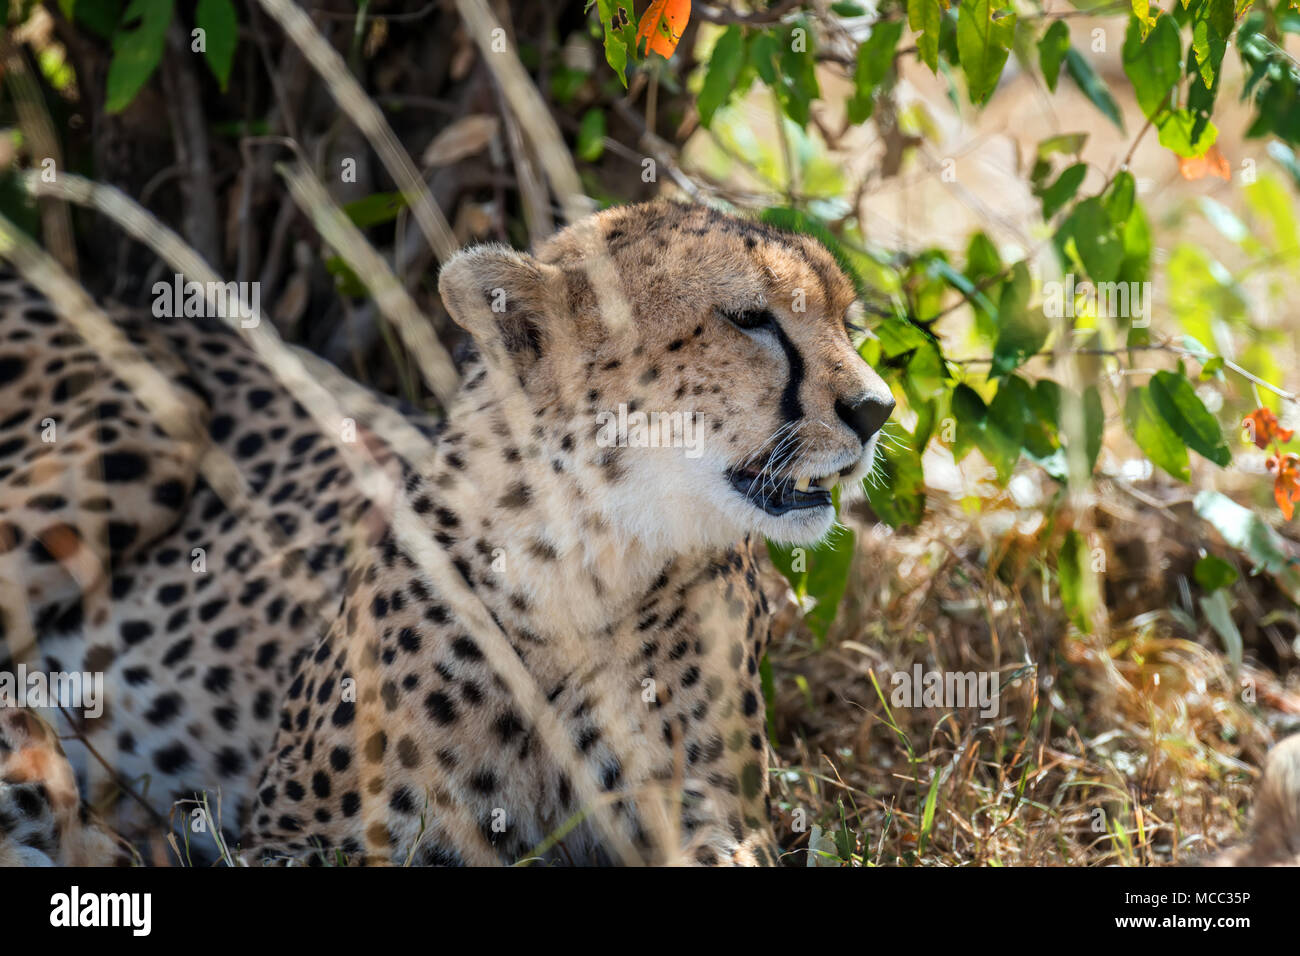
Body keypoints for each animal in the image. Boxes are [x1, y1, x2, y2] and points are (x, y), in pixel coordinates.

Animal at [0, 200, 897, 866]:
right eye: (751, 319)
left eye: (850, 323)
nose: (877, 409)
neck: (590, 560)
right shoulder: (296, 835)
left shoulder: (711, 817)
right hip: (153, 417)